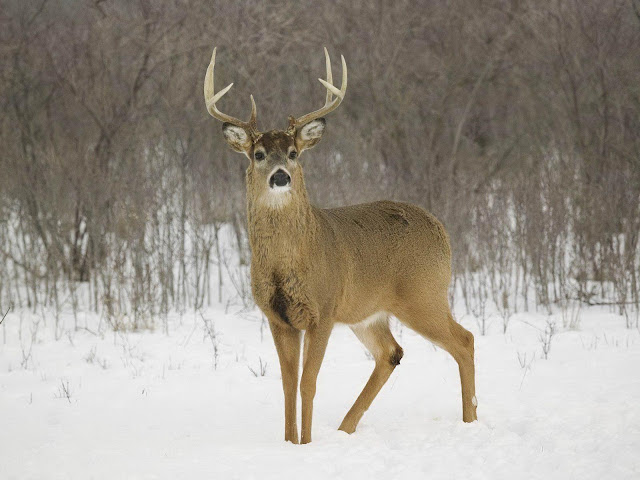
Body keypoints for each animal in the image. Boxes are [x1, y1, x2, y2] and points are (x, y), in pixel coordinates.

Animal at [203, 47, 477, 444]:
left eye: (293, 152)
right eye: (258, 154)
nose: (280, 177)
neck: (288, 262)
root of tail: (441, 229)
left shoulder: (324, 309)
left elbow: (308, 384)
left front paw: (305, 443)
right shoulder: (277, 317)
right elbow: (287, 385)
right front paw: (289, 442)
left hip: (423, 294)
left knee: (464, 340)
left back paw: (471, 421)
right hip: (368, 311)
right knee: (391, 352)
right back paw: (346, 429)